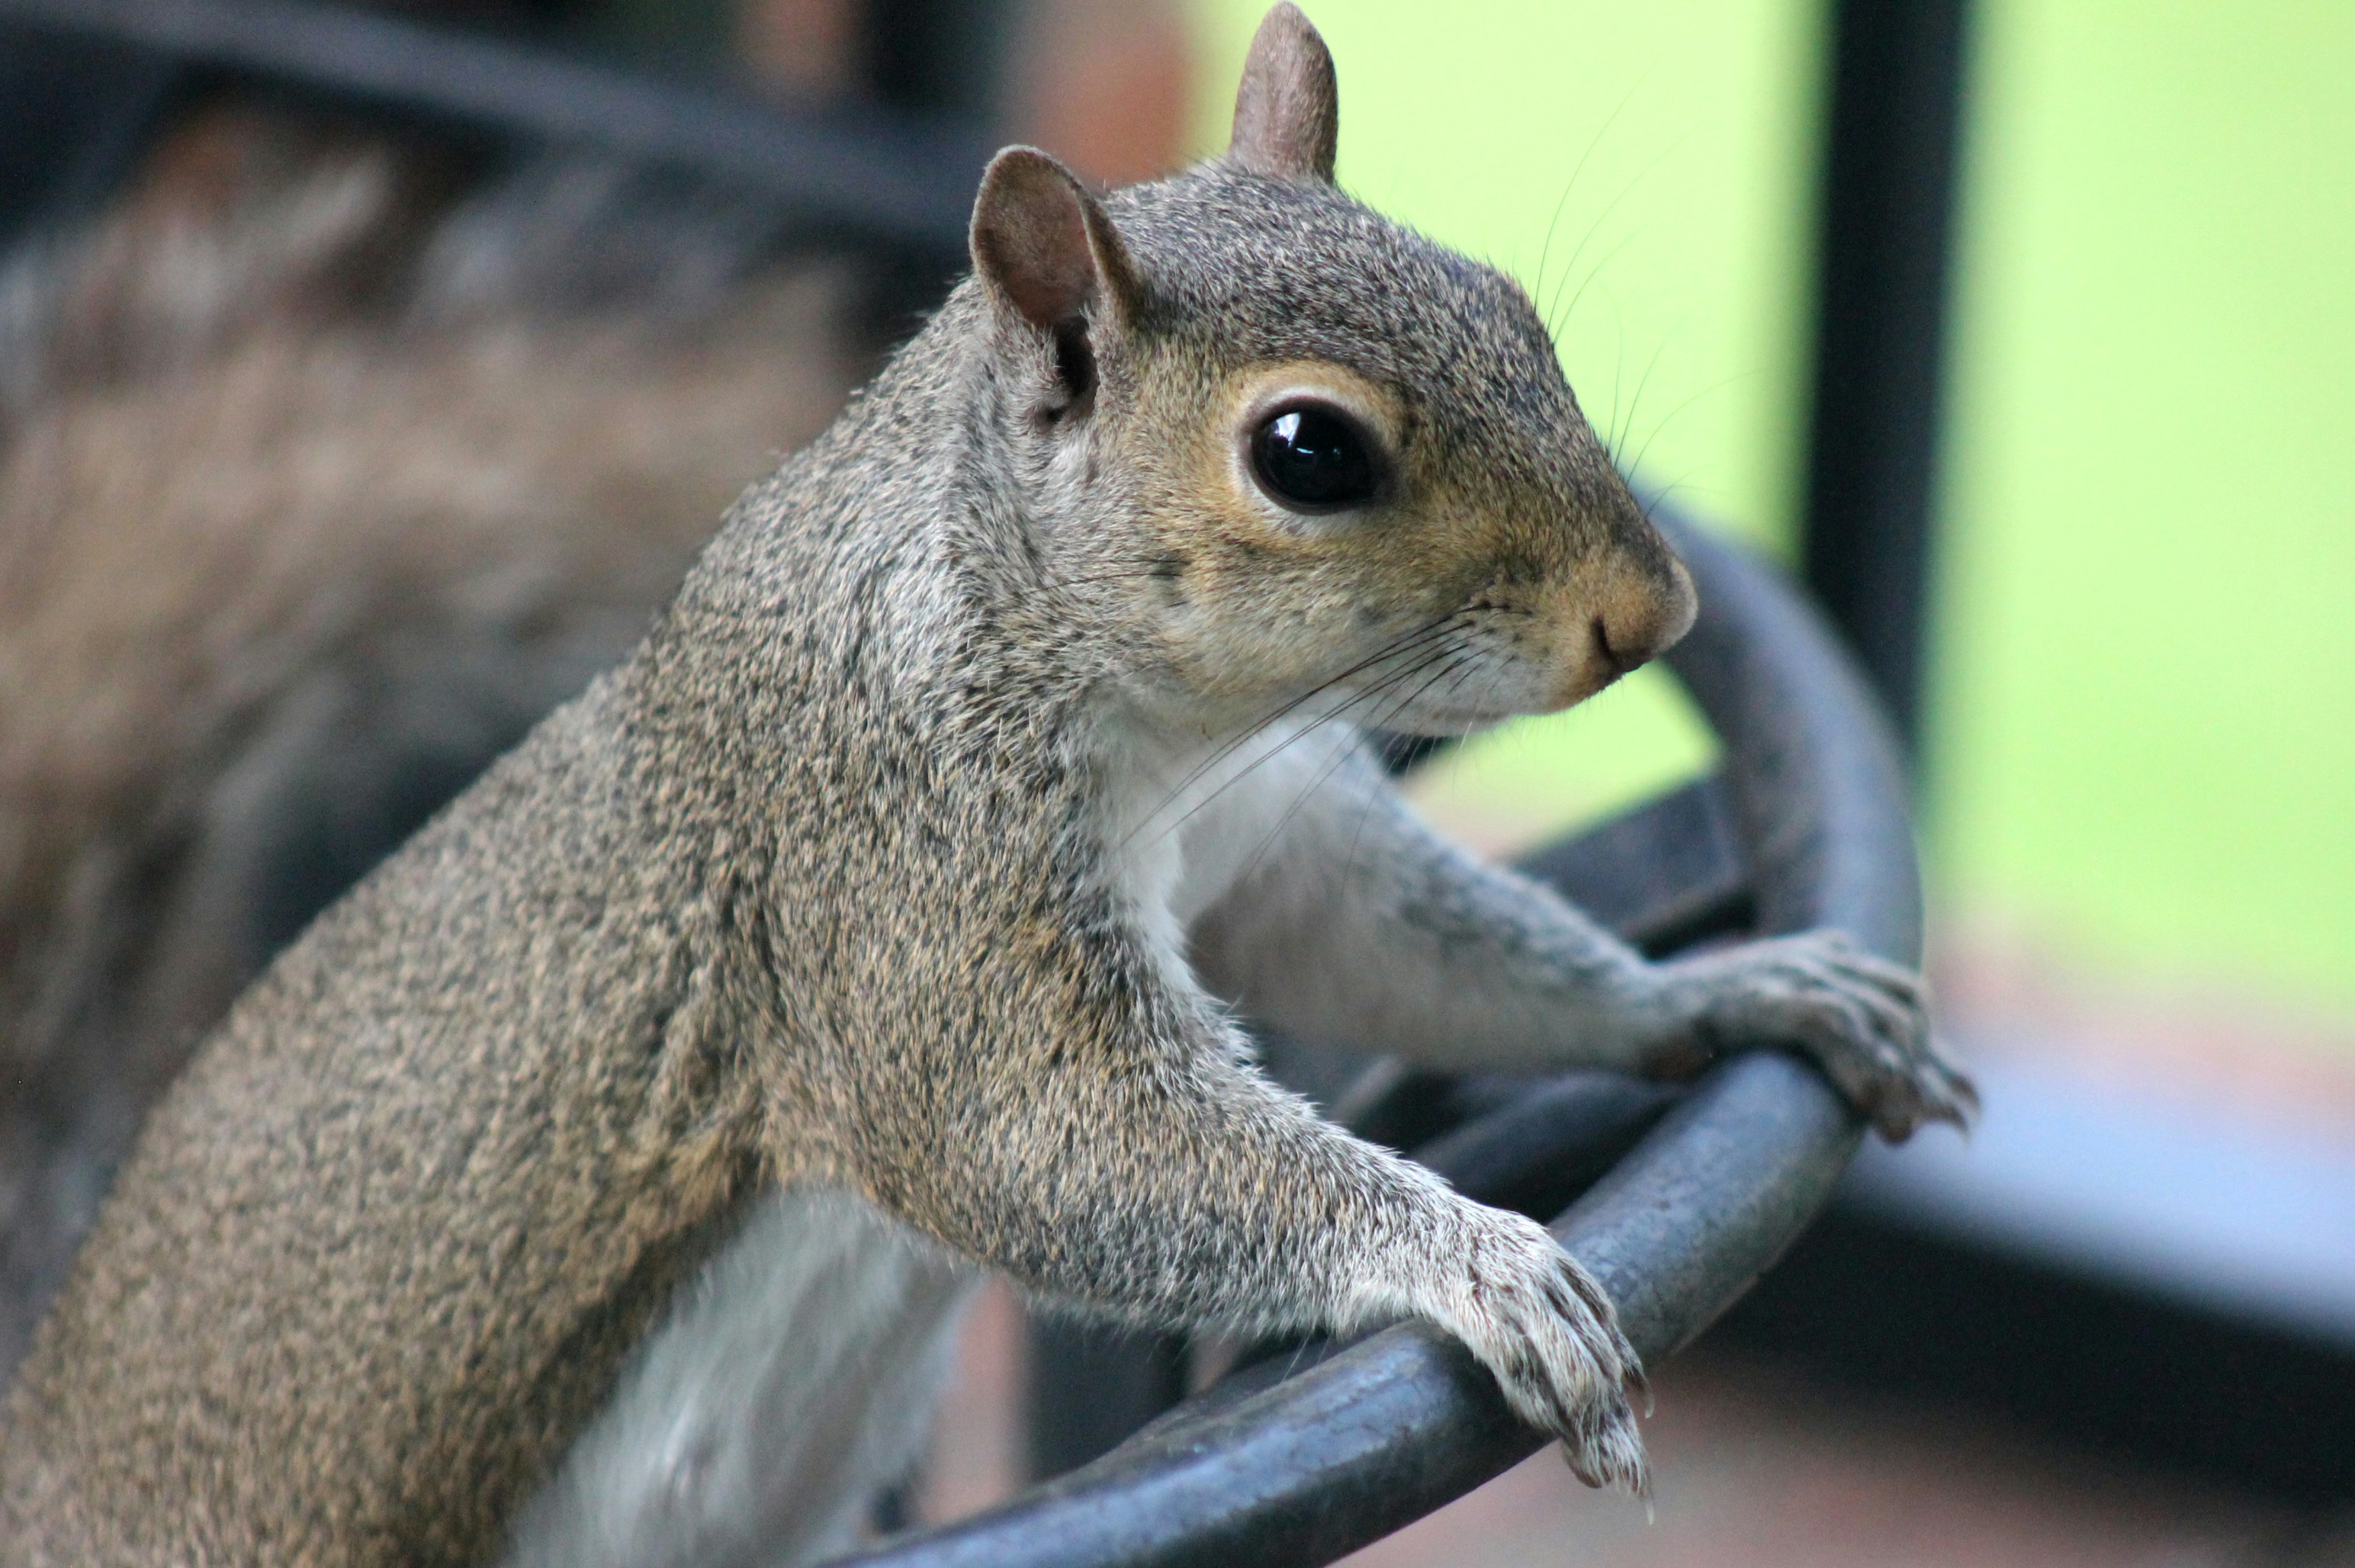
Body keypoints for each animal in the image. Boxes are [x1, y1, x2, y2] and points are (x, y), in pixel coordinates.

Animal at [0, 8, 1974, 1565]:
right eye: (1308, 450)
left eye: (1506, 305)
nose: (1653, 610)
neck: (1163, 730)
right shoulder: (906, 881)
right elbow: (1040, 1137)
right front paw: (1474, 1256)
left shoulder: (1275, 844)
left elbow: (1429, 956)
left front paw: (1739, 989)